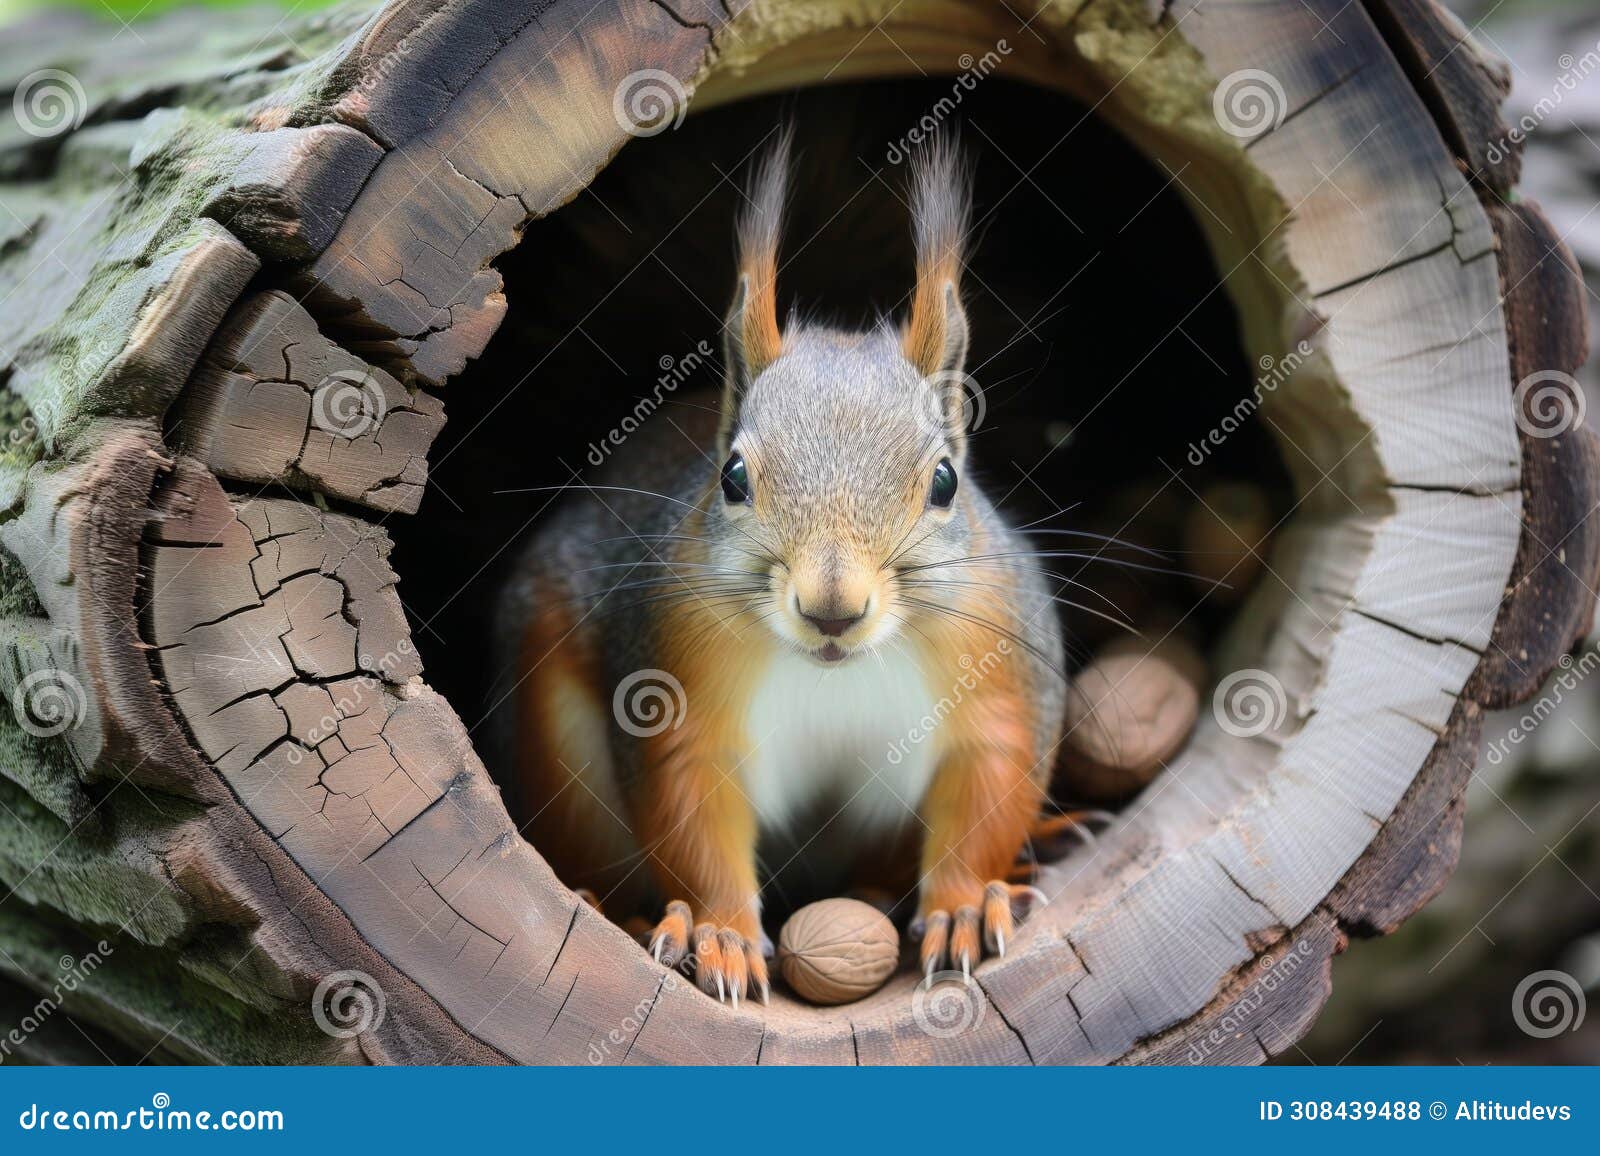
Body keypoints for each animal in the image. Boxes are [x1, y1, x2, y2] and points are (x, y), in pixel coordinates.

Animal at [496, 133, 1066, 1007]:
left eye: (944, 482)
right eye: (732, 477)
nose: (833, 608)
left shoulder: (1000, 656)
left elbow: (989, 781)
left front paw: (968, 905)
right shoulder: (676, 679)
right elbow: (693, 809)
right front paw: (719, 932)